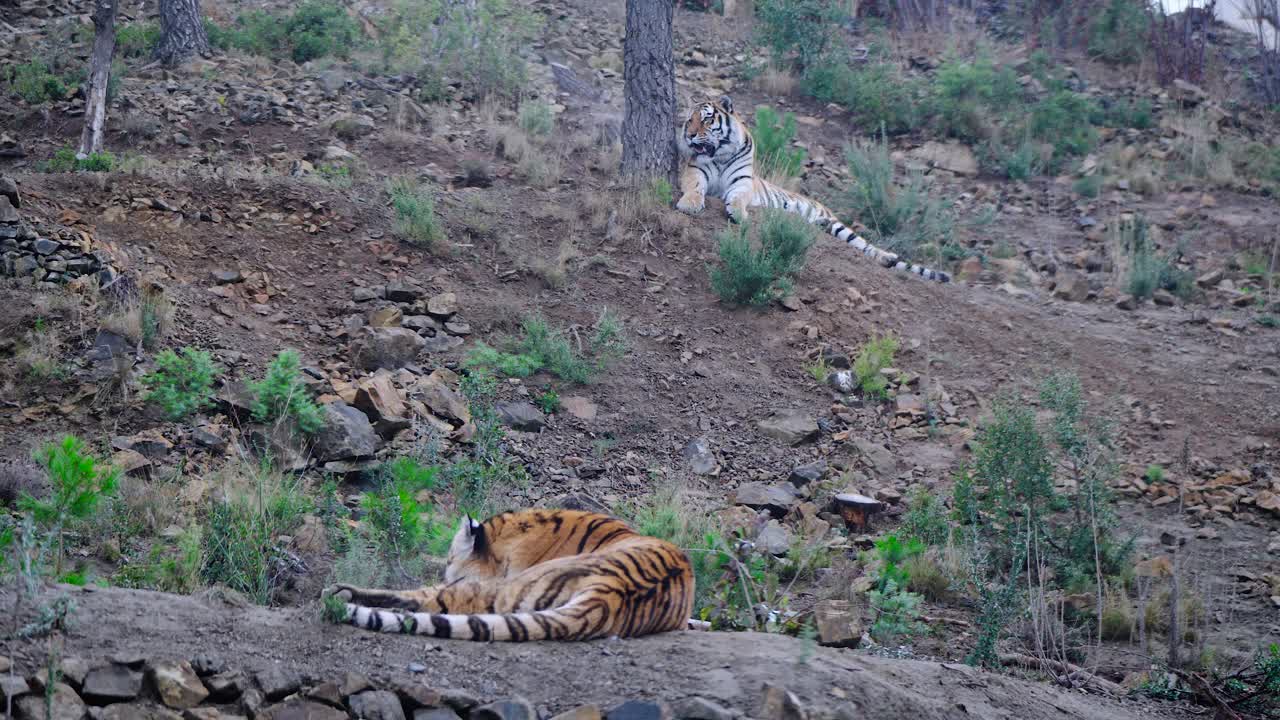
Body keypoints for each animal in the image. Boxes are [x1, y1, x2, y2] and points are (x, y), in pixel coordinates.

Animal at [322, 509, 695, 642]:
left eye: (450, 559)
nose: (446, 568)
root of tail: (608, 594)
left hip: (502, 591)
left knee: (429, 599)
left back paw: (339, 593)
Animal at [677, 95, 952, 283]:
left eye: (707, 118)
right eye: (689, 120)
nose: (689, 136)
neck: (720, 154)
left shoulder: (743, 181)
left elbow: (738, 197)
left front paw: (738, 214)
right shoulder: (696, 170)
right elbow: (695, 187)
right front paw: (689, 204)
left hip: (839, 225)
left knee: (866, 246)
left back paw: (888, 257)